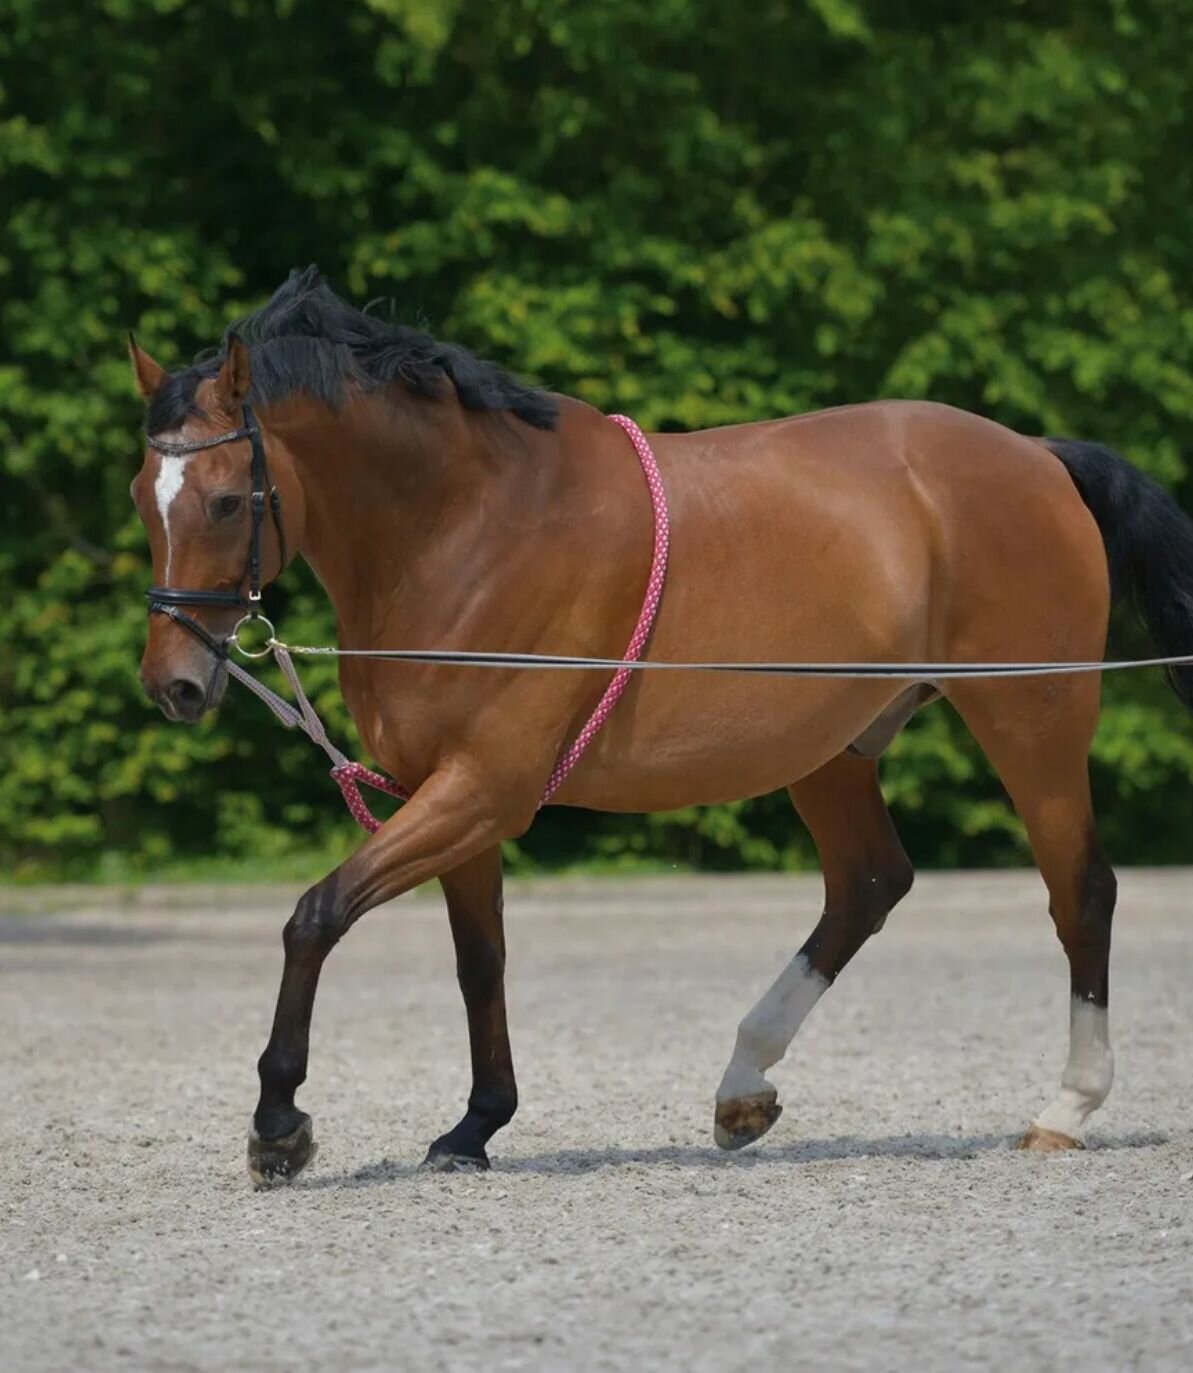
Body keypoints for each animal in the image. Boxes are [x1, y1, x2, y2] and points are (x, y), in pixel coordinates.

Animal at [129, 267, 1193, 1185]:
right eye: (145, 497)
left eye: (228, 499)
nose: (174, 683)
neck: (468, 525)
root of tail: (1038, 457)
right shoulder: (454, 796)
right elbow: (480, 961)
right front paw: (474, 1127)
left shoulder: (482, 790)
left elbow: (316, 916)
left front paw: (278, 1127)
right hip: (830, 748)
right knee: (868, 884)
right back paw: (742, 1089)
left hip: (1031, 721)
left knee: (1078, 891)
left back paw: (1064, 1107)